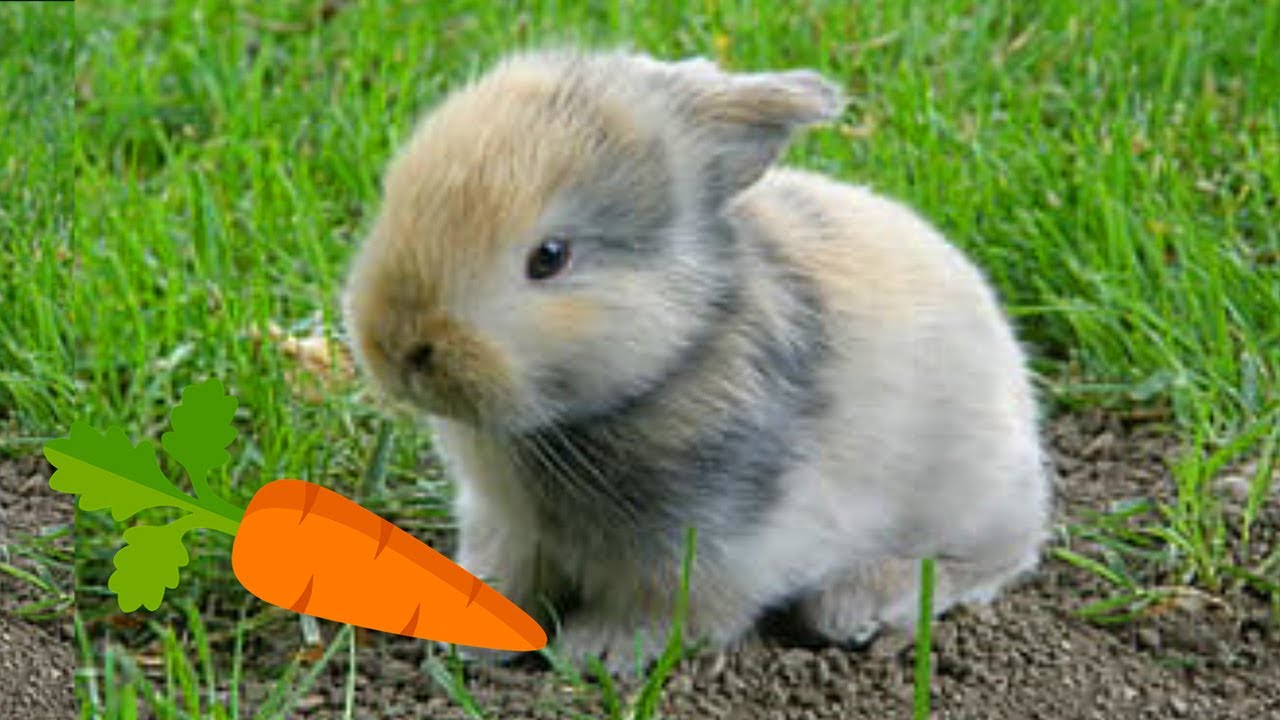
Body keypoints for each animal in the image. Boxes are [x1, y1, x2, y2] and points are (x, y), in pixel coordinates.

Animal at [342, 49, 1051, 675]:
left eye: (549, 257)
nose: (396, 345)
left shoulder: (711, 549)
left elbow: (667, 610)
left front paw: (597, 654)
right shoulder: (502, 525)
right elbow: (503, 580)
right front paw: (464, 640)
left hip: (972, 498)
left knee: (999, 557)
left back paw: (861, 604)